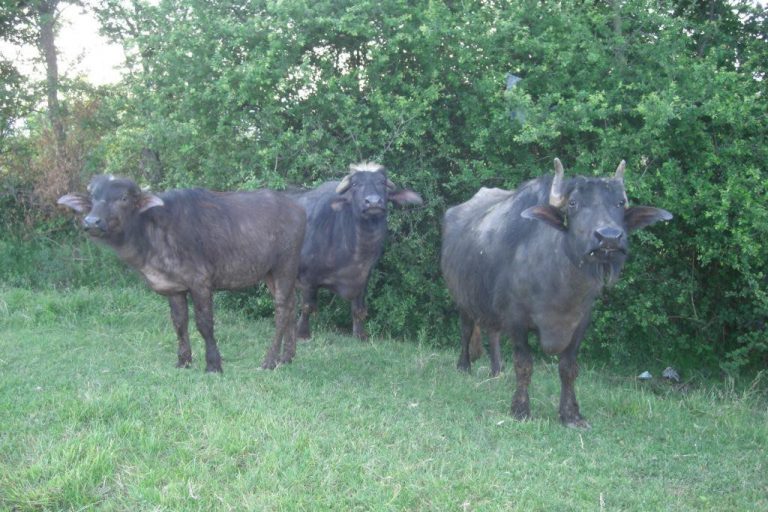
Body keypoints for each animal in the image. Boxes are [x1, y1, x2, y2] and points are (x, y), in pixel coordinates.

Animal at [58, 175, 306, 372]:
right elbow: (179, 323)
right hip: (270, 273)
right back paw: (287, 357)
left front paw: (213, 364)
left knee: (282, 310)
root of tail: (297, 208)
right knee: (291, 305)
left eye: (124, 198)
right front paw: (183, 361)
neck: (153, 231)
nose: (92, 221)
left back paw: (269, 361)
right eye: (92, 197)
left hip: (285, 266)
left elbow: (204, 324)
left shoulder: (201, 283)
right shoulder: (174, 288)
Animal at [293, 162, 422, 340]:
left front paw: (360, 334)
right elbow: (307, 307)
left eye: (382, 182)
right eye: (355, 184)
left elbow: (359, 310)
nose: (373, 202)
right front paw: (302, 333)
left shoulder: (363, 280)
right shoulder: (308, 279)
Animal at [441, 159, 672, 427]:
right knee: (467, 330)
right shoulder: (516, 319)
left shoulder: (580, 322)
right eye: (573, 204)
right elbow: (524, 364)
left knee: (493, 332)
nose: (609, 238)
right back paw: (464, 366)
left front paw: (571, 414)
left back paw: (497, 370)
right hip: (462, 298)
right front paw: (520, 409)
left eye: (619, 203)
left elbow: (568, 368)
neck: (559, 287)